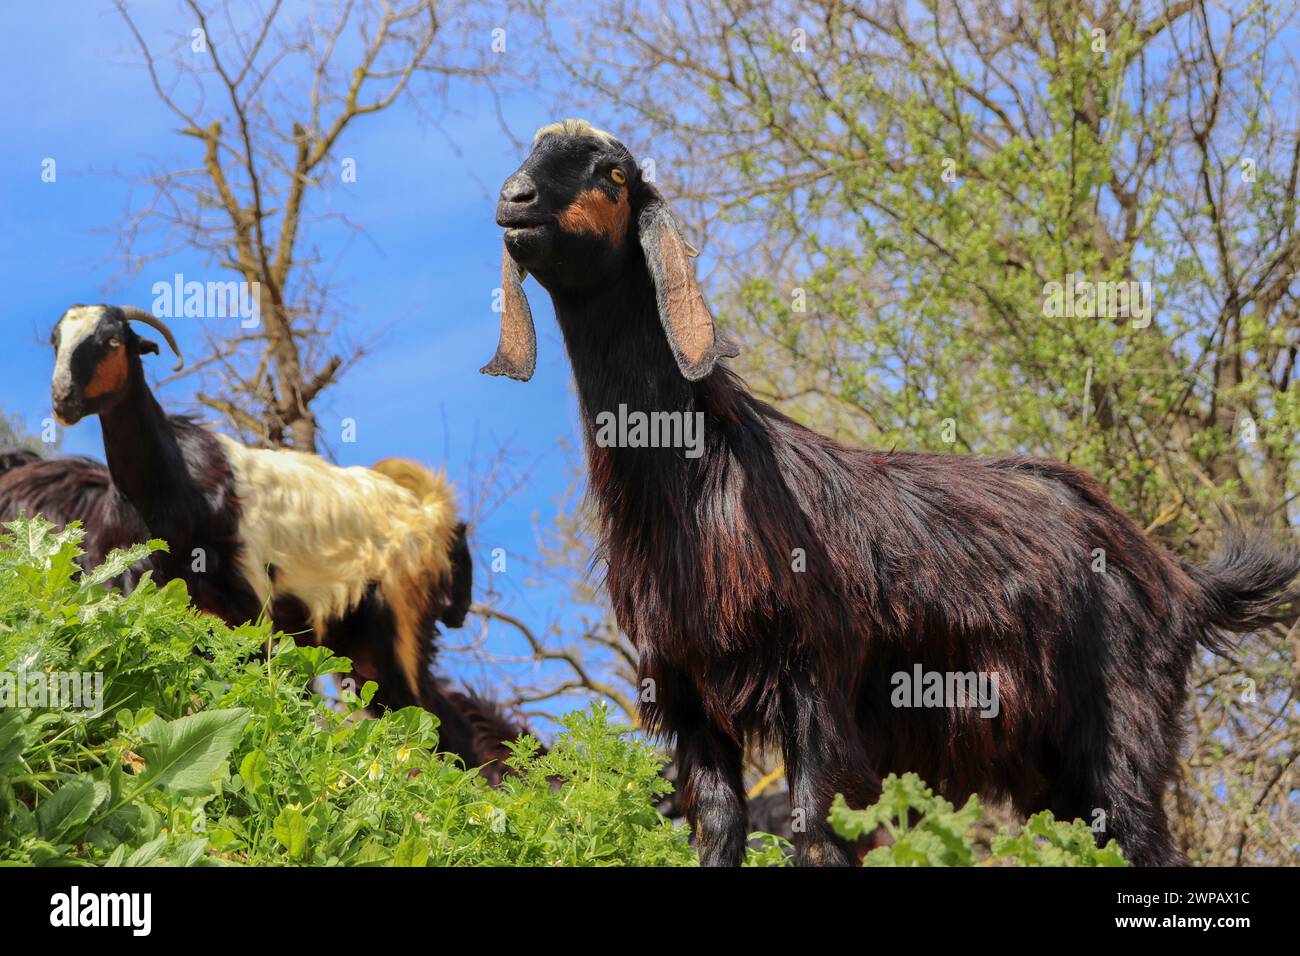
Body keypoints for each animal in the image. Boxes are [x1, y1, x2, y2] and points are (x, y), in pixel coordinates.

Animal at [482, 119, 1300, 866]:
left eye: (613, 174)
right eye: (532, 152)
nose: (514, 198)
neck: (703, 475)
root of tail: (1177, 576)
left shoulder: (817, 679)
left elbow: (818, 830)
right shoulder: (686, 694)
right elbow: (716, 831)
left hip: (1124, 723)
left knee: (1140, 836)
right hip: (1048, 765)